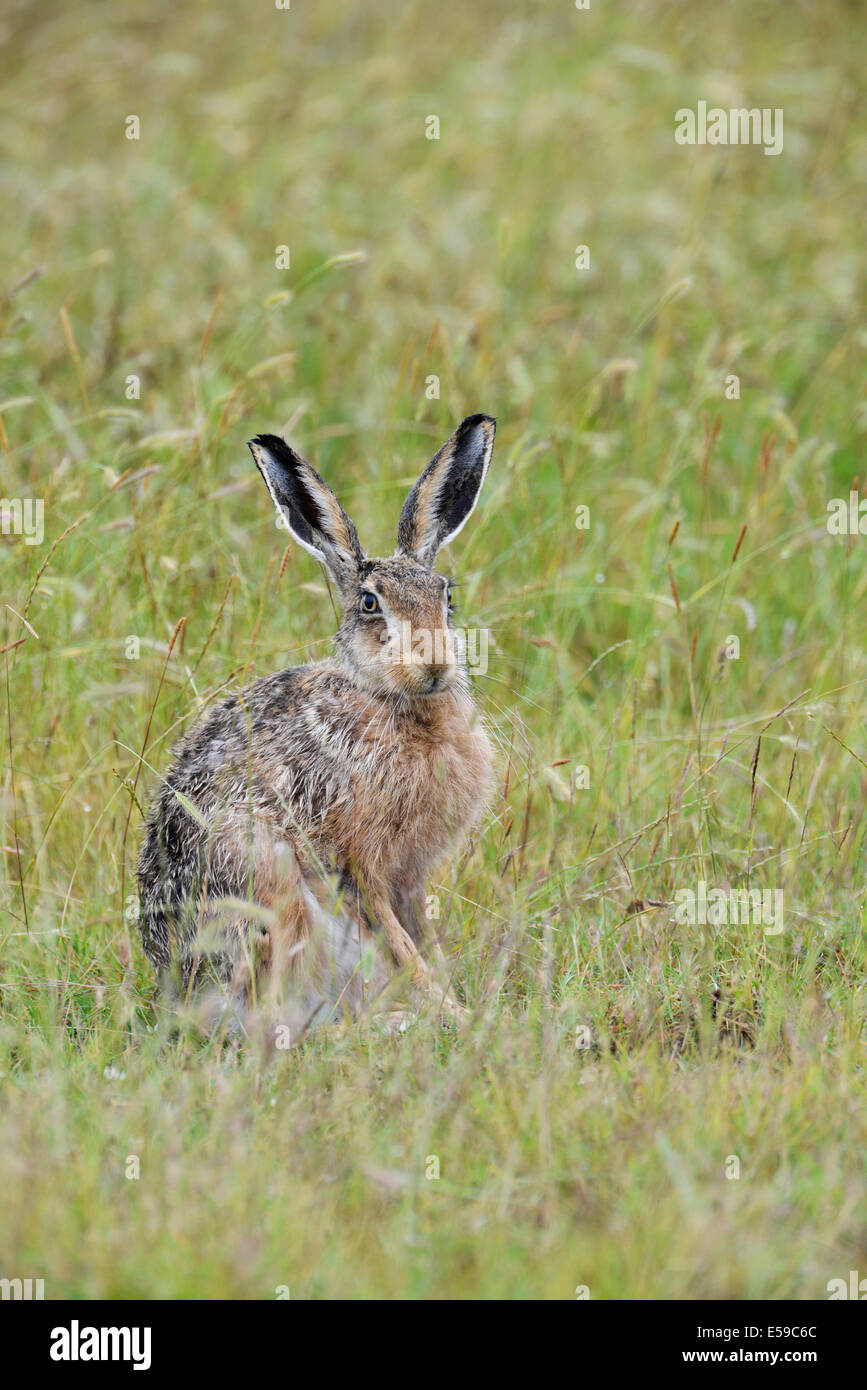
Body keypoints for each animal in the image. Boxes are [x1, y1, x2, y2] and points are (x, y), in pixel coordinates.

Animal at [136, 413, 497, 1034]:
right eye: (371, 603)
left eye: (446, 596)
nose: (433, 664)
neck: (397, 704)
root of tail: (176, 989)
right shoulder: (357, 861)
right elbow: (400, 943)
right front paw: (454, 1012)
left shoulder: (408, 878)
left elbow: (421, 939)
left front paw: (454, 1002)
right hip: (267, 883)